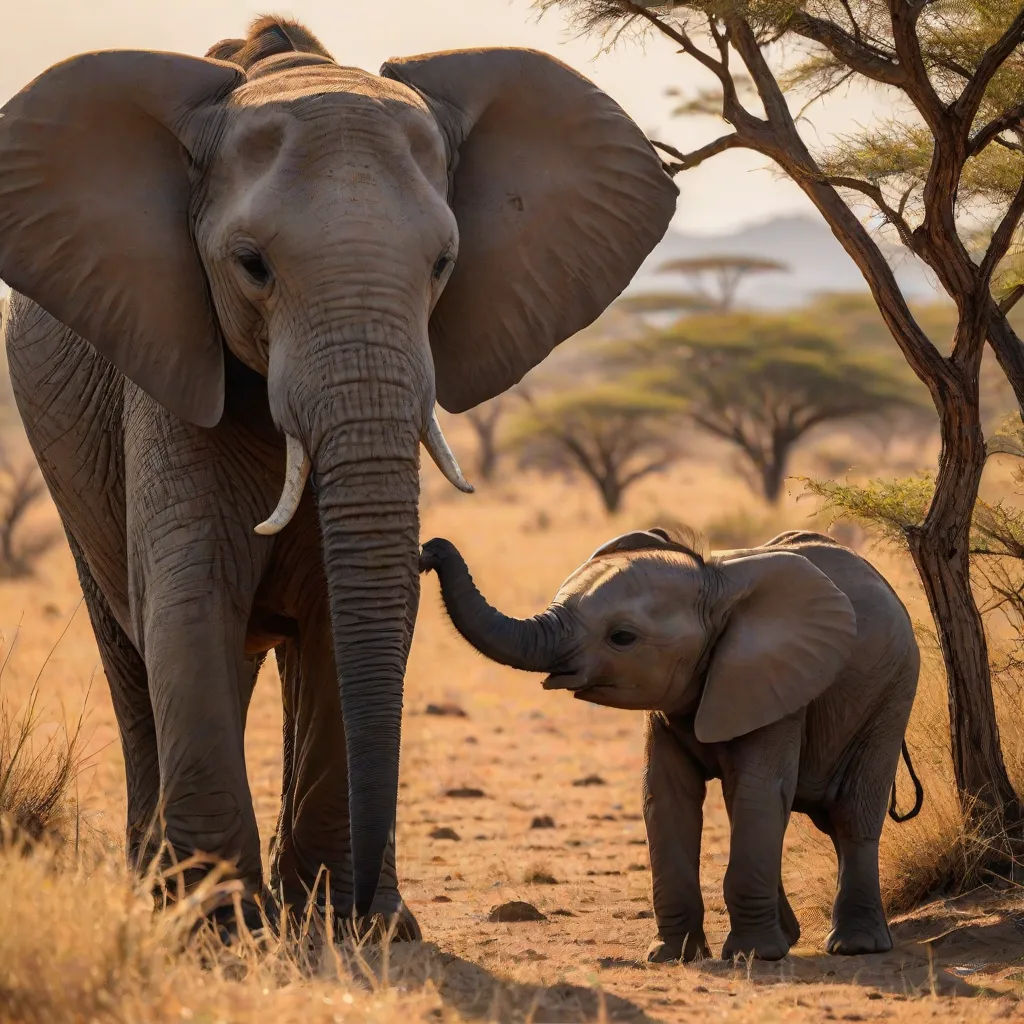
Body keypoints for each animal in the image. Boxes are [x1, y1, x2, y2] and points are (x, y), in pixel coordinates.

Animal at [0, 16, 677, 934]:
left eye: (443, 264)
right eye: (251, 264)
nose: (435, 549)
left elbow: (345, 611)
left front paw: (344, 922)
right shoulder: (168, 365)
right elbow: (189, 599)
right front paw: (223, 927)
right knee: (130, 648)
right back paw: (160, 891)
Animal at [419, 527, 922, 961]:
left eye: (622, 638)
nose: (428, 549)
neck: (717, 586)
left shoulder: (776, 683)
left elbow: (759, 793)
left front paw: (753, 956)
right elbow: (666, 798)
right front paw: (670, 956)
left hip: (892, 691)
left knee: (850, 813)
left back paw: (854, 946)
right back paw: (794, 935)